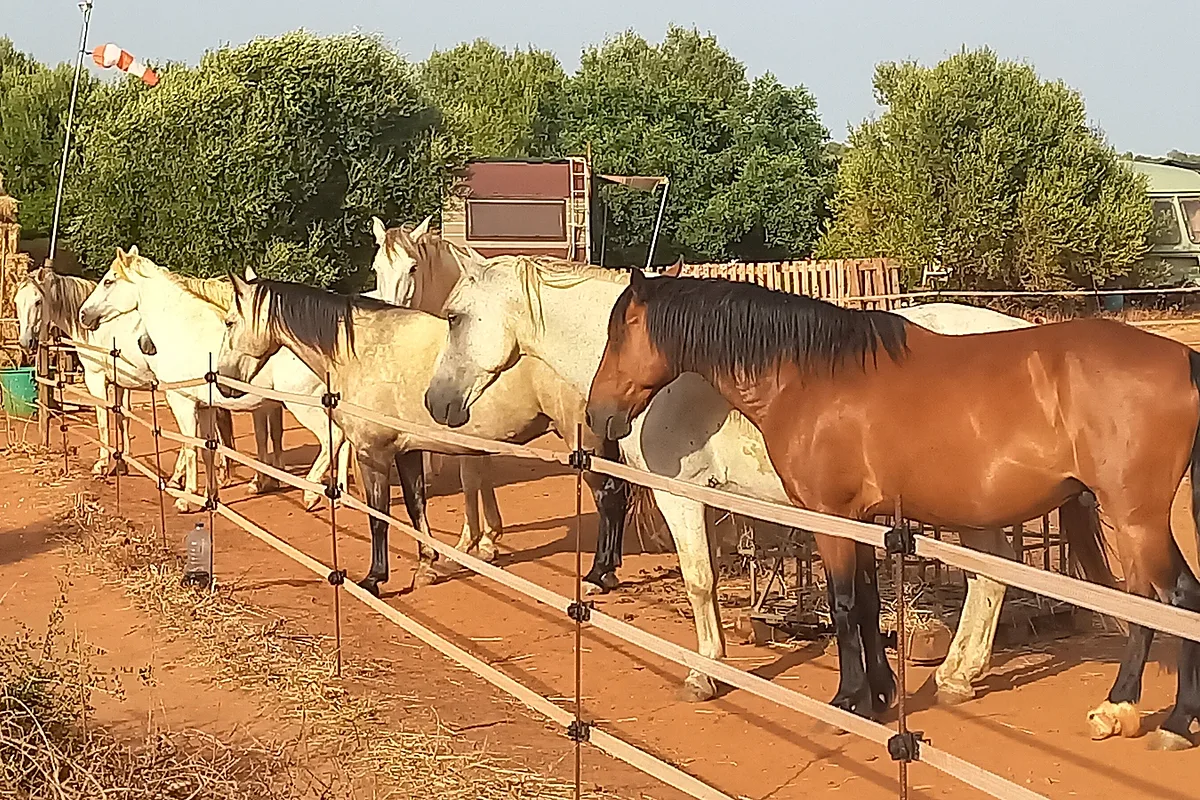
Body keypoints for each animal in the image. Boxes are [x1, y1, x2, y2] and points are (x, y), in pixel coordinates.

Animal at [78, 248, 349, 512]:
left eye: (109, 281)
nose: (84, 315)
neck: (182, 330)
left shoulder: (182, 401)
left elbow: (190, 447)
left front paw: (186, 499)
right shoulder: (205, 407)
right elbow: (207, 449)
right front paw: (210, 495)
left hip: (304, 405)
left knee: (332, 438)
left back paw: (311, 495)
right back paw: (338, 494)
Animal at [367, 221, 631, 589]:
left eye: (413, 267)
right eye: (377, 268)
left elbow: (470, 479)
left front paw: (469, 545)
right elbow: (479, 475)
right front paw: (487, 540)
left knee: (610, 493)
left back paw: (598, 574)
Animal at [413, 239, 1085, 705]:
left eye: (455, 316)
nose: (435, 403)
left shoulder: (682, 496)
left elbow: (700, 581)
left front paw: (705, 673)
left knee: (991, 579)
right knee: (991, 578)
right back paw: (957, 674)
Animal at [586, 270, 1200, 751]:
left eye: (620, 333)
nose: (599, 415)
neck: (813, 376)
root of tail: (1185, 359)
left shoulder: (830, 516)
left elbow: (843, 605)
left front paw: (846, 701)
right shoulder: (862, 519)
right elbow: (867, 601)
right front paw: (879, 696)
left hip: (1138, 518)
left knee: (1174, 600)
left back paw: (1158, 719)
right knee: (1147, 601)